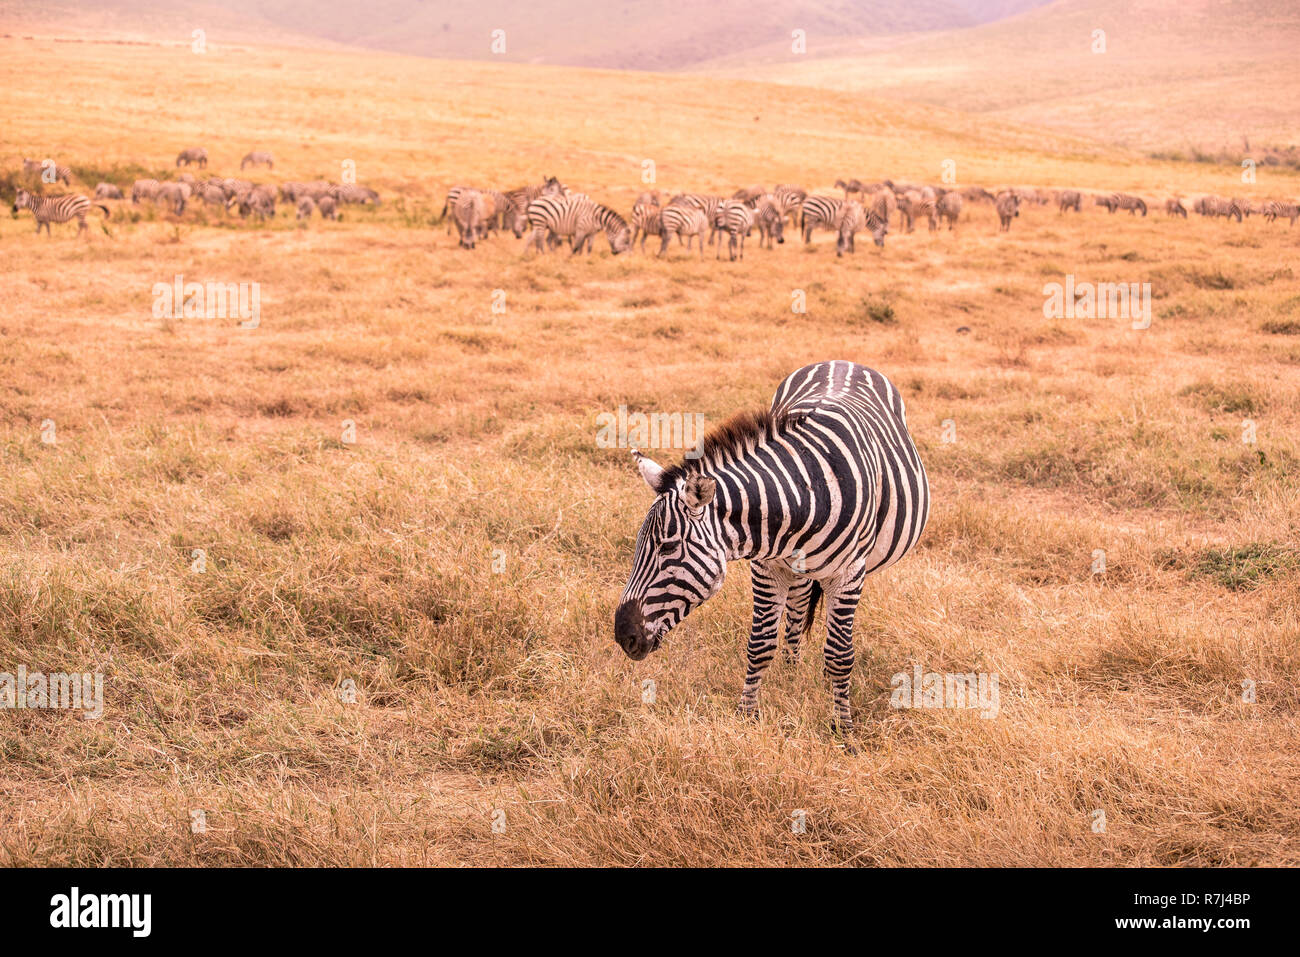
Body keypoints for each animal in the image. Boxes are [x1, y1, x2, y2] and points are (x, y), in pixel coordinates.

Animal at [616, 360, 929, 736]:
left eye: (667, 548)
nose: (622, 635)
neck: (807, 494)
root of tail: (842, 362)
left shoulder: (849, 573)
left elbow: (841, 654)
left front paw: (843, 728)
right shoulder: (768, 567)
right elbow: (760, 643)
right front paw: (746, 714)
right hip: (798, 571)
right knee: (796, 610)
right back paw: (792, 669)